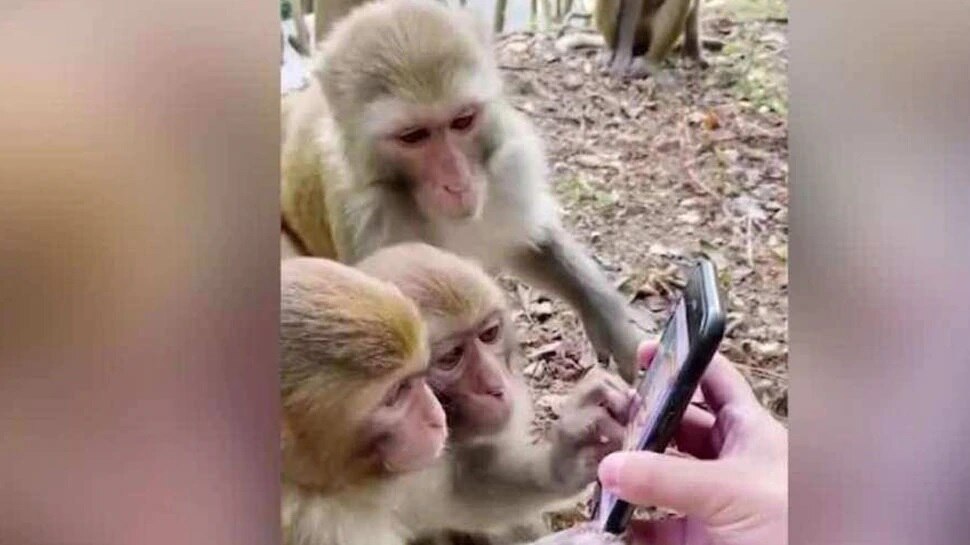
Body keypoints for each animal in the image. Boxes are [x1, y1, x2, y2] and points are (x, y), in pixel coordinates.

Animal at [280, 0, 648, 383]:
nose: (457, 181)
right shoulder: (371, 217)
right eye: (413, 136)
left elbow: (528, 246)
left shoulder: (506, 169)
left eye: (463, 120)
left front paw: (604, 315)